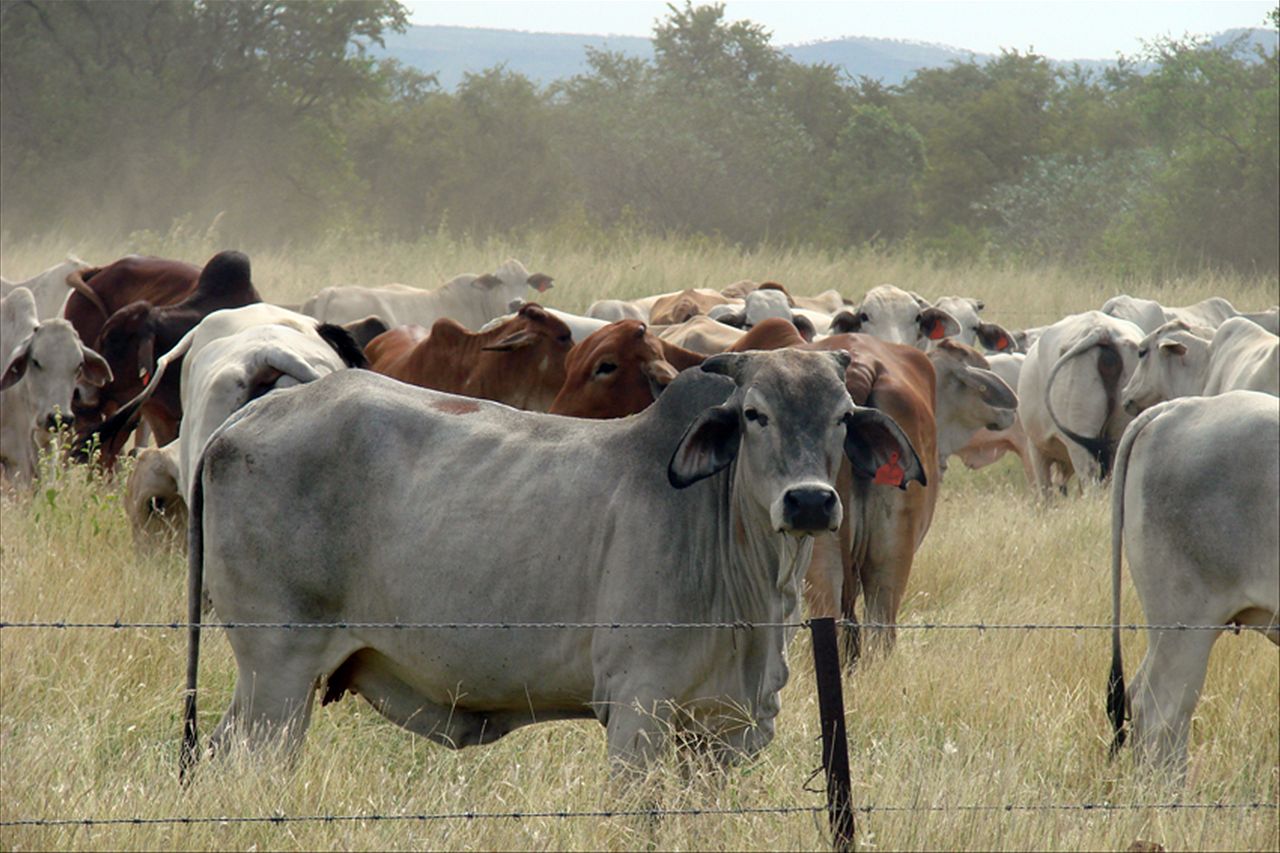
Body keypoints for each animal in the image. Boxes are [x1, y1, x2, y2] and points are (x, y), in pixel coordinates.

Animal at [179, 350, 925, 774]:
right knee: (245, 765)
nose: (810, 501)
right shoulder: (637, 710)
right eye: (754, 414)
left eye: (841, 416)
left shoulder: (722, 730)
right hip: (278, 669)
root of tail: (242, 422)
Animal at [1016, 311, 1143, 495]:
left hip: (1079, 436)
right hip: (1120, 431)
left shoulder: (1036, 448)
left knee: (1089, 475)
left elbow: (1045, 491)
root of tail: (1102, 331)